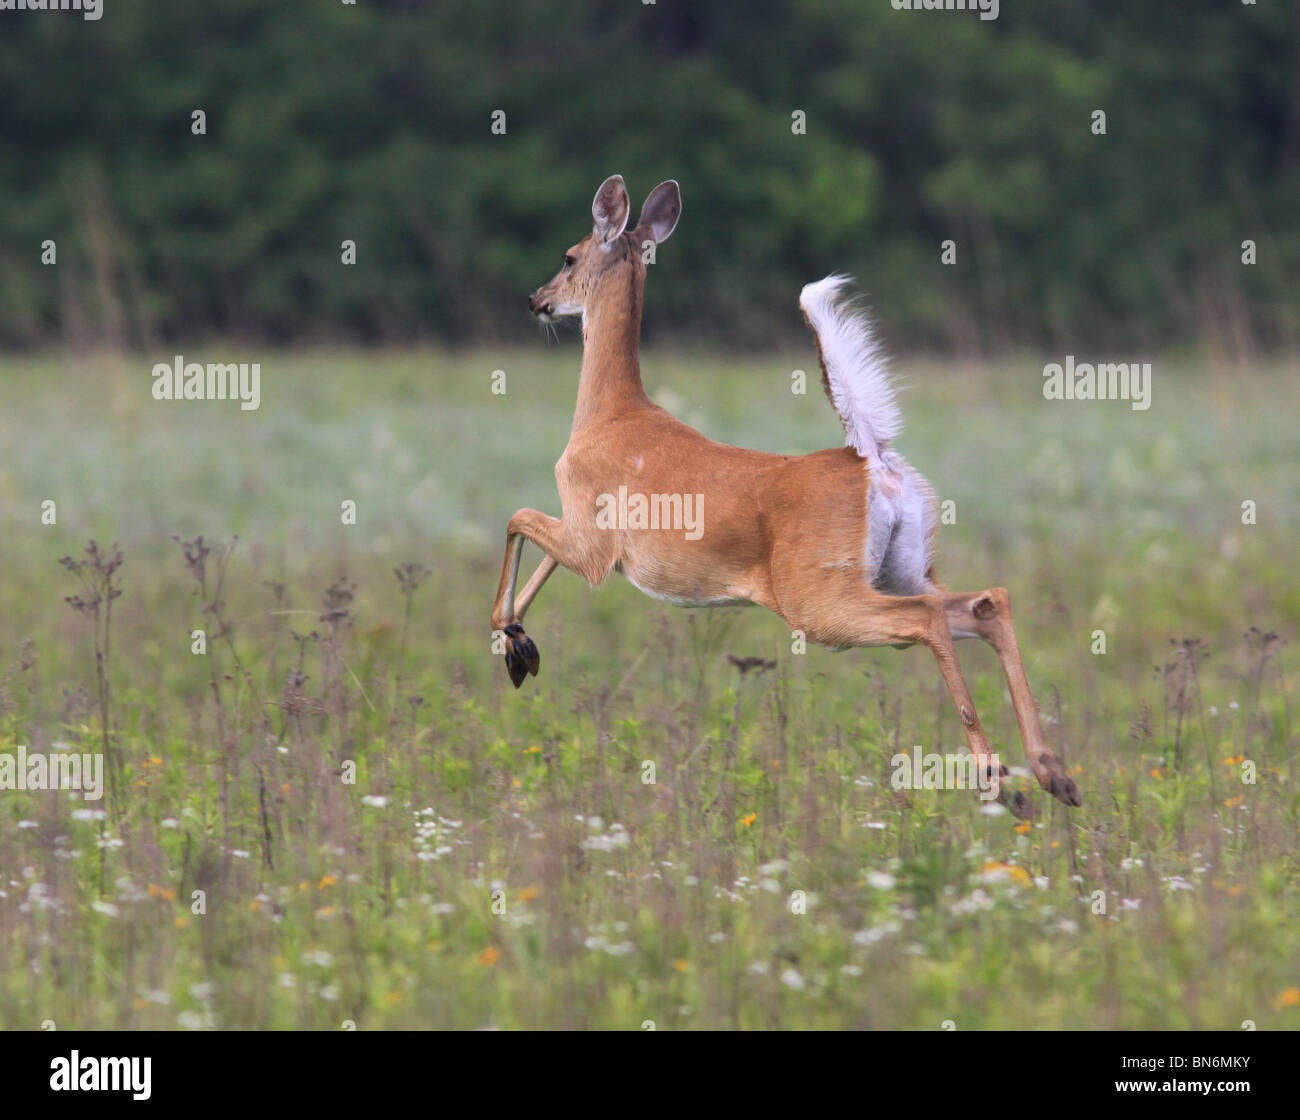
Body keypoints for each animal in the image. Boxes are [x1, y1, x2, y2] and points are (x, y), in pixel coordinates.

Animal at [491, 174, 1081, 819]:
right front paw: (521, 644)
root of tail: (871, 459)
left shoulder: (595, 541)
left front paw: (513, 644)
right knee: (986, 602)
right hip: (900, 566)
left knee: (927, 618)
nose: (535, 299)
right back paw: (1053, 775)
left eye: (569, 256)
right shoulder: (584, 533)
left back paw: (997, 776)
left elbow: (517, 518)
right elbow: (534, 541)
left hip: (816, 596)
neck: (609, 413)